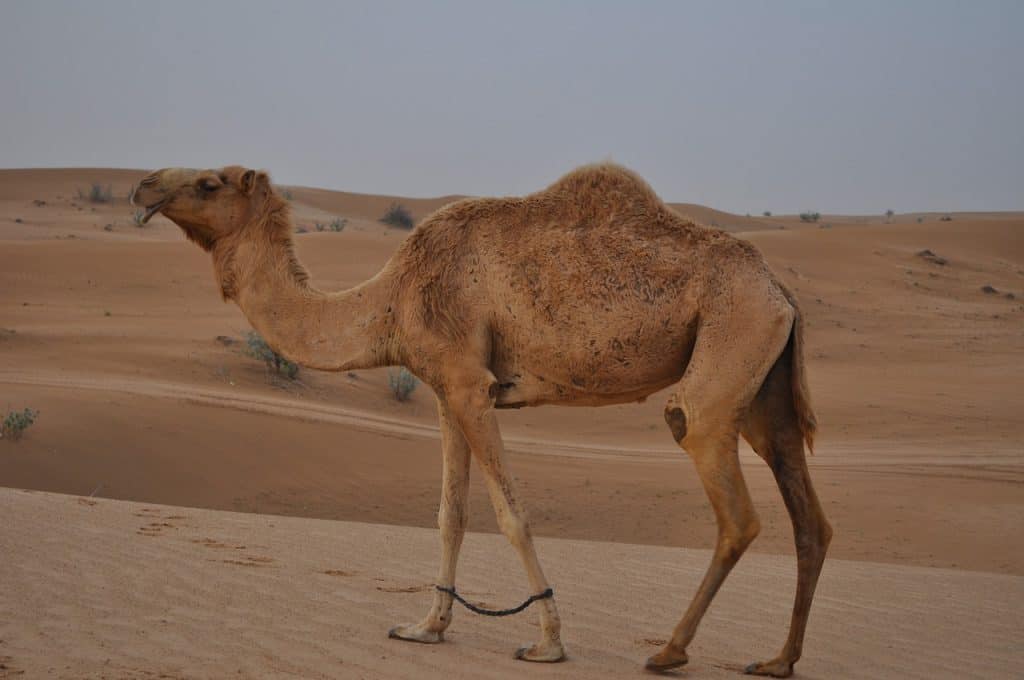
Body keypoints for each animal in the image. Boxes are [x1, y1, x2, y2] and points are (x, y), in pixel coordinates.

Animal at [130, 163, 832, 677]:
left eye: (209, 182)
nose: (142, 185)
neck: (389, 298)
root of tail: (780, 291)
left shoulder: (471, 385)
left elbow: (510, 514)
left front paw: (547, 641)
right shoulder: (445, 387)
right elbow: (451, 515)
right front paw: (426, 627)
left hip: (726, 354)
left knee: (731, 502)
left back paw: (669, 650)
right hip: (763, 387)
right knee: (810, 519)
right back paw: (778, 660)